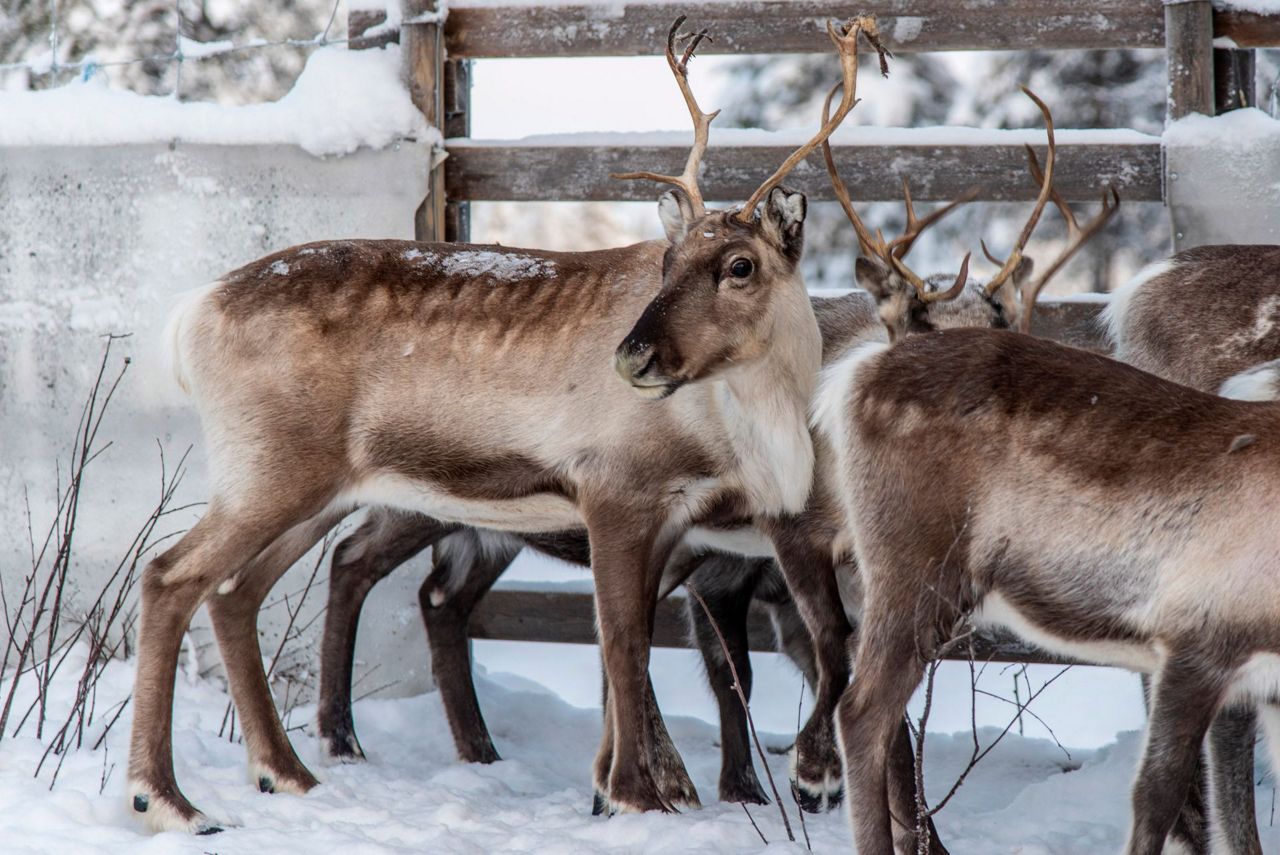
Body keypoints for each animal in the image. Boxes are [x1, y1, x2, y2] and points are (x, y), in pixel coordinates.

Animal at [125, 16, 875, 834]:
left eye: (741, 264)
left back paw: (285, 773)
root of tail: (192, 314)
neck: (750, 423)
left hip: (313, 489)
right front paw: (637, 795)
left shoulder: (673, 521)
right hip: (269, 472)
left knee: (236, 592)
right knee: (169, 576)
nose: (633, 355)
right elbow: (625, 644)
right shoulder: (616, 492)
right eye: (669, 262)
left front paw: (616, 789)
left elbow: (634, 644)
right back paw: (168, 799)